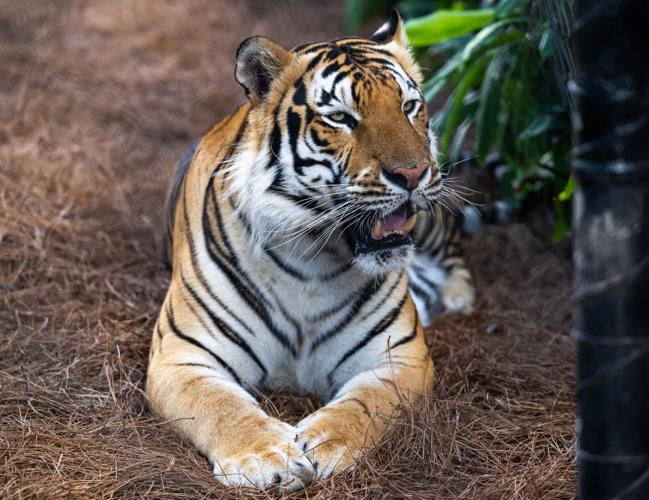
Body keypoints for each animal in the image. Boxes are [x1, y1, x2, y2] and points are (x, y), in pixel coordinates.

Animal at [146, 11, 474, 492]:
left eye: (409, 106)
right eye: (340, 118)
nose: (412, 174)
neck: (311, 260)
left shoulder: (400, 356)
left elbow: (369, 402)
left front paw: (325, 443)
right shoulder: (182, 354)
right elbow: (220, 406)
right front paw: (265, 456)